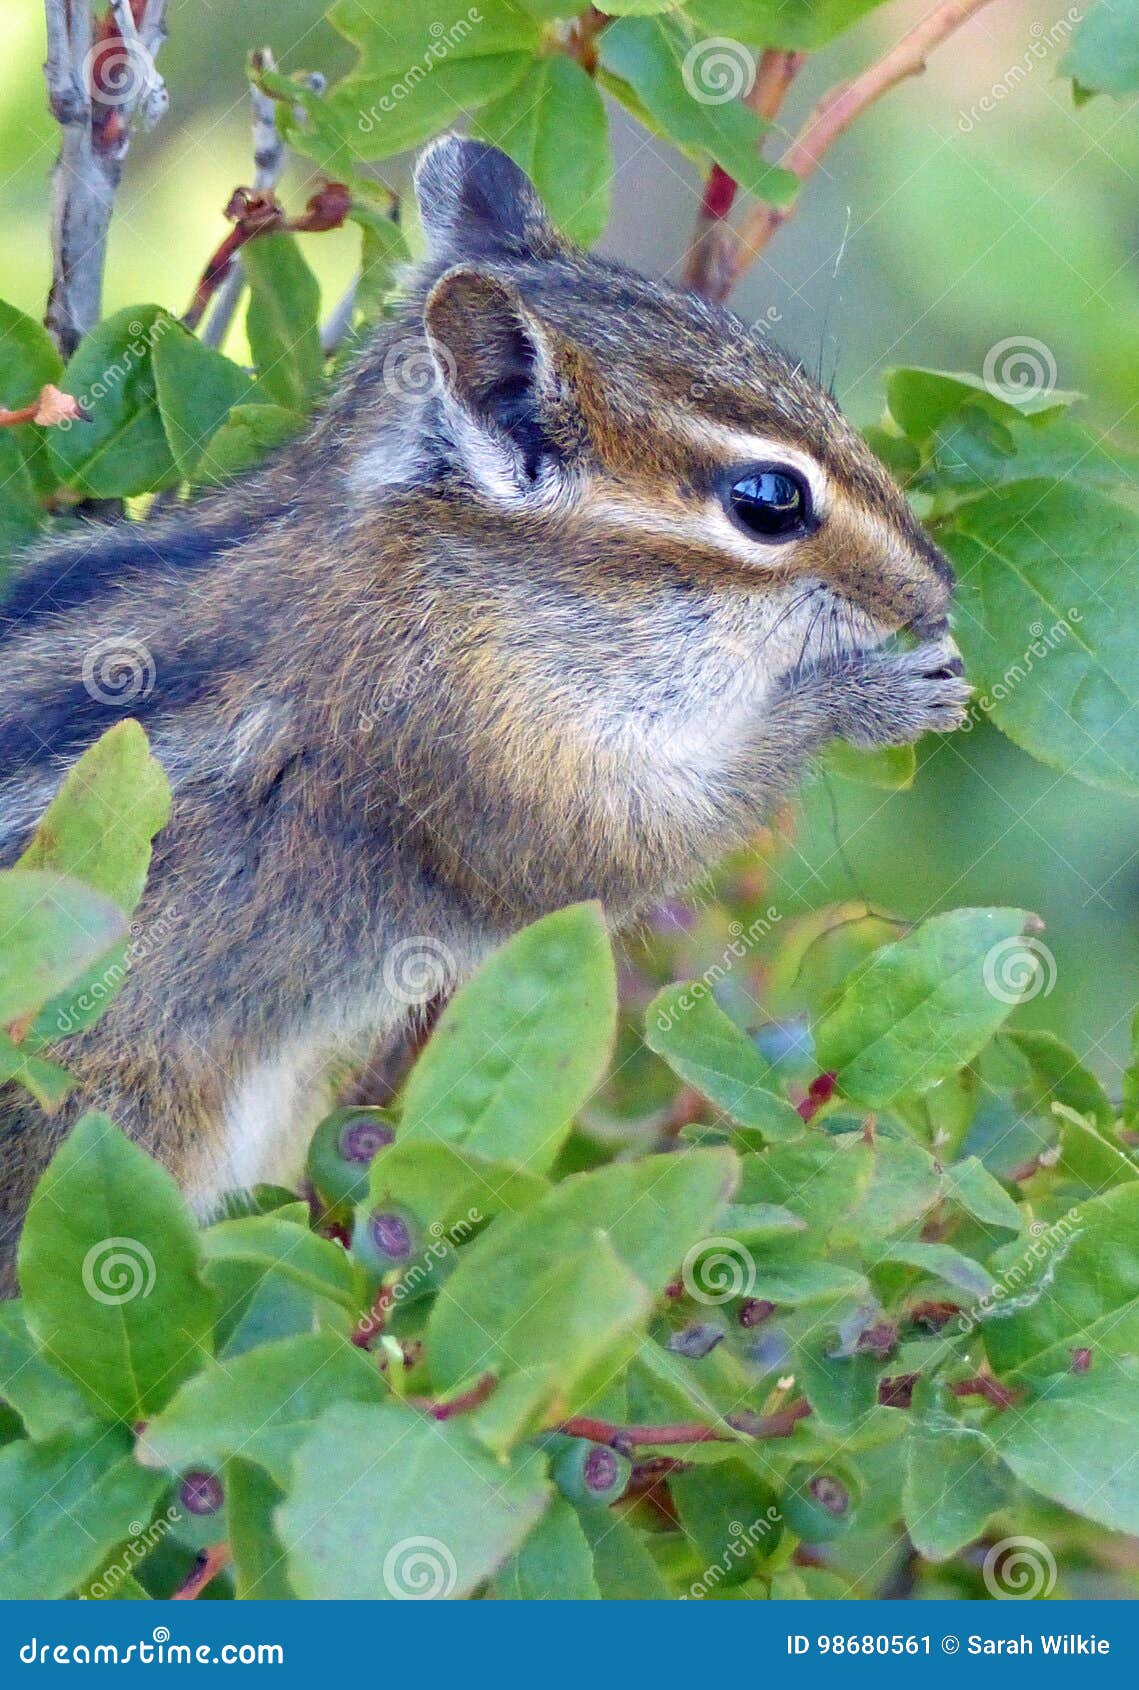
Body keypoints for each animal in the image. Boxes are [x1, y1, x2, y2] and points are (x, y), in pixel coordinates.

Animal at [0, 137, 968, 1281]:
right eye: (768, 501)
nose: (938, 584)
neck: (457, 565)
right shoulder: (477, 748)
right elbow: (625, 850)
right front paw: (866, 695)